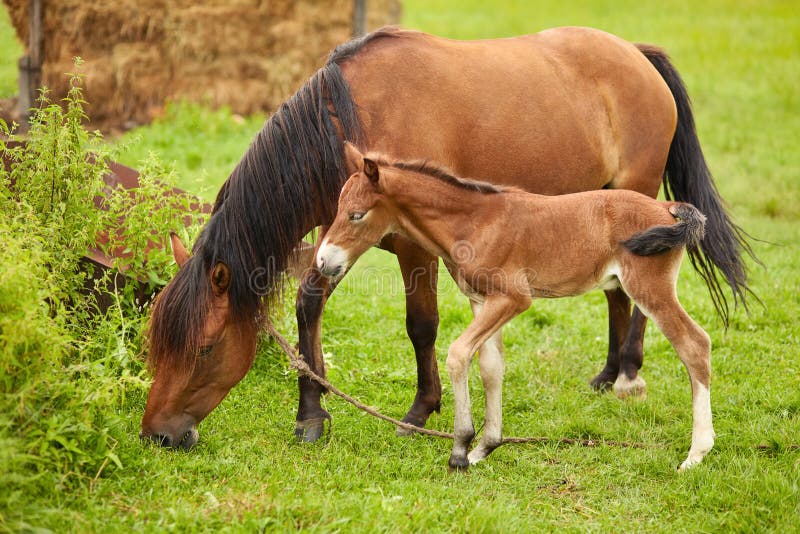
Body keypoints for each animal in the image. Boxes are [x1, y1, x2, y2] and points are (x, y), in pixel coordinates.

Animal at [317, 144, 715, 471]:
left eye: (357, 215)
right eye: (338, 208)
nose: (323, 261)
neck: (474, 221)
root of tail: (667, 207)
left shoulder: (513, 298)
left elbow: (458, 354)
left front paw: (460, 450)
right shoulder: (482, 301)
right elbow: (491, 367)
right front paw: (484, 448)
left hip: (650, 287)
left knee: (695, 344)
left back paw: (696, 453)